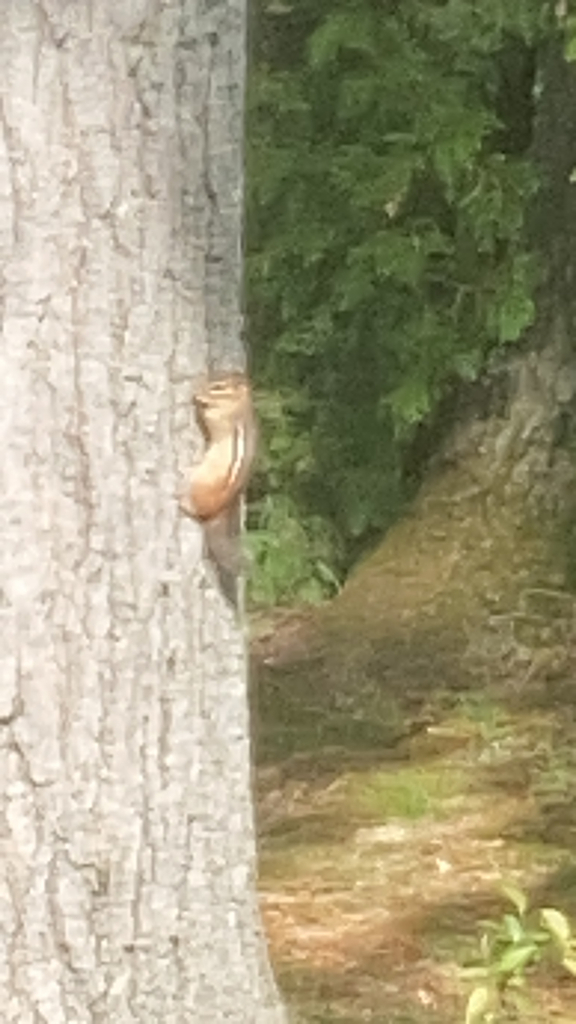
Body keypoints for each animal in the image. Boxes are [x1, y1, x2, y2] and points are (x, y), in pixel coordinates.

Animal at [178, 373, 257, 582]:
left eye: (219, 387)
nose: (198, 391)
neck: (239, 402)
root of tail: (217, 513)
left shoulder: (221, 418)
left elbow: (208, 417)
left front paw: (199, 403)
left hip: (200, 483)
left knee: (194, 509)